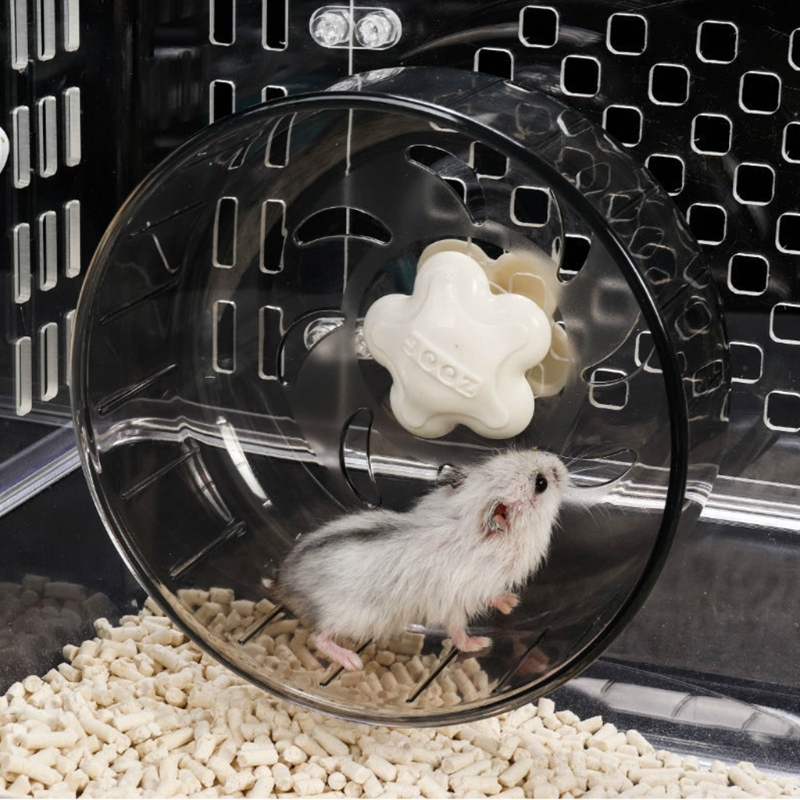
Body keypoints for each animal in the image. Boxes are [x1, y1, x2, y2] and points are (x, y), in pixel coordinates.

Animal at [276, 449, 568, 671]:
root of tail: (284, 583)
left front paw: (512, 602)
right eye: (541, 483)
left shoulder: (487, 584)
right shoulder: (456, 601)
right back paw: (352, 661)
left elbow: (495, 595)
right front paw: (481, 644)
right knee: (318, 636)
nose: (560, 463)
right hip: (347, 616)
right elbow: (458, 630)